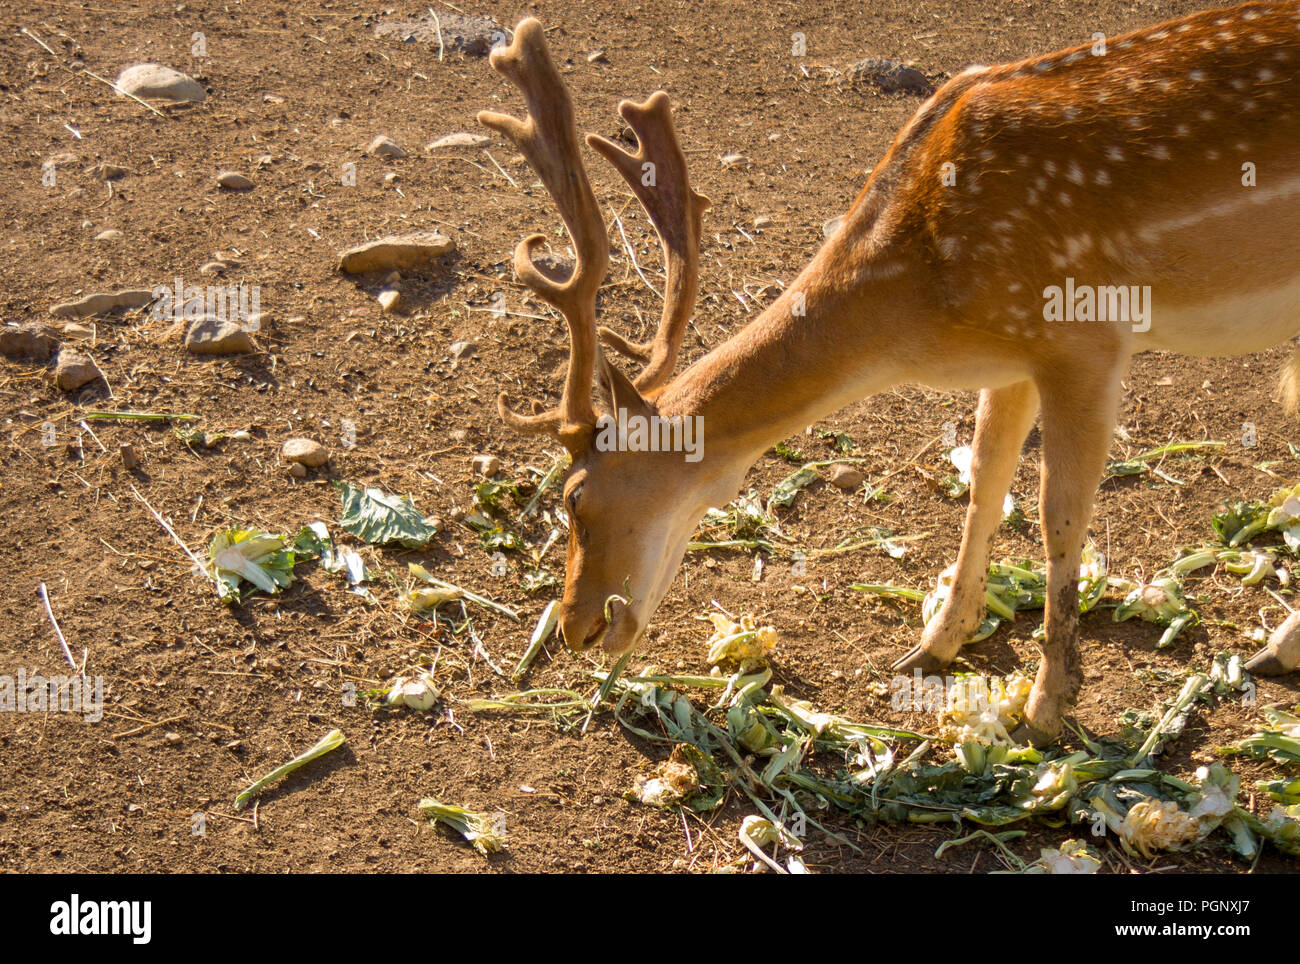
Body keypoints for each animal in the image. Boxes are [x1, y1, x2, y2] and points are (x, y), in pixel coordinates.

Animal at [477, 5, 1300, 746]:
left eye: (575, 500)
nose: (576, 629)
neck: (920, 305)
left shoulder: (1085, 339)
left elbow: (1057, 517)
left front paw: (1047, 709)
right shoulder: (1013, 360)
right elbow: (985, 483)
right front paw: (935, 645)